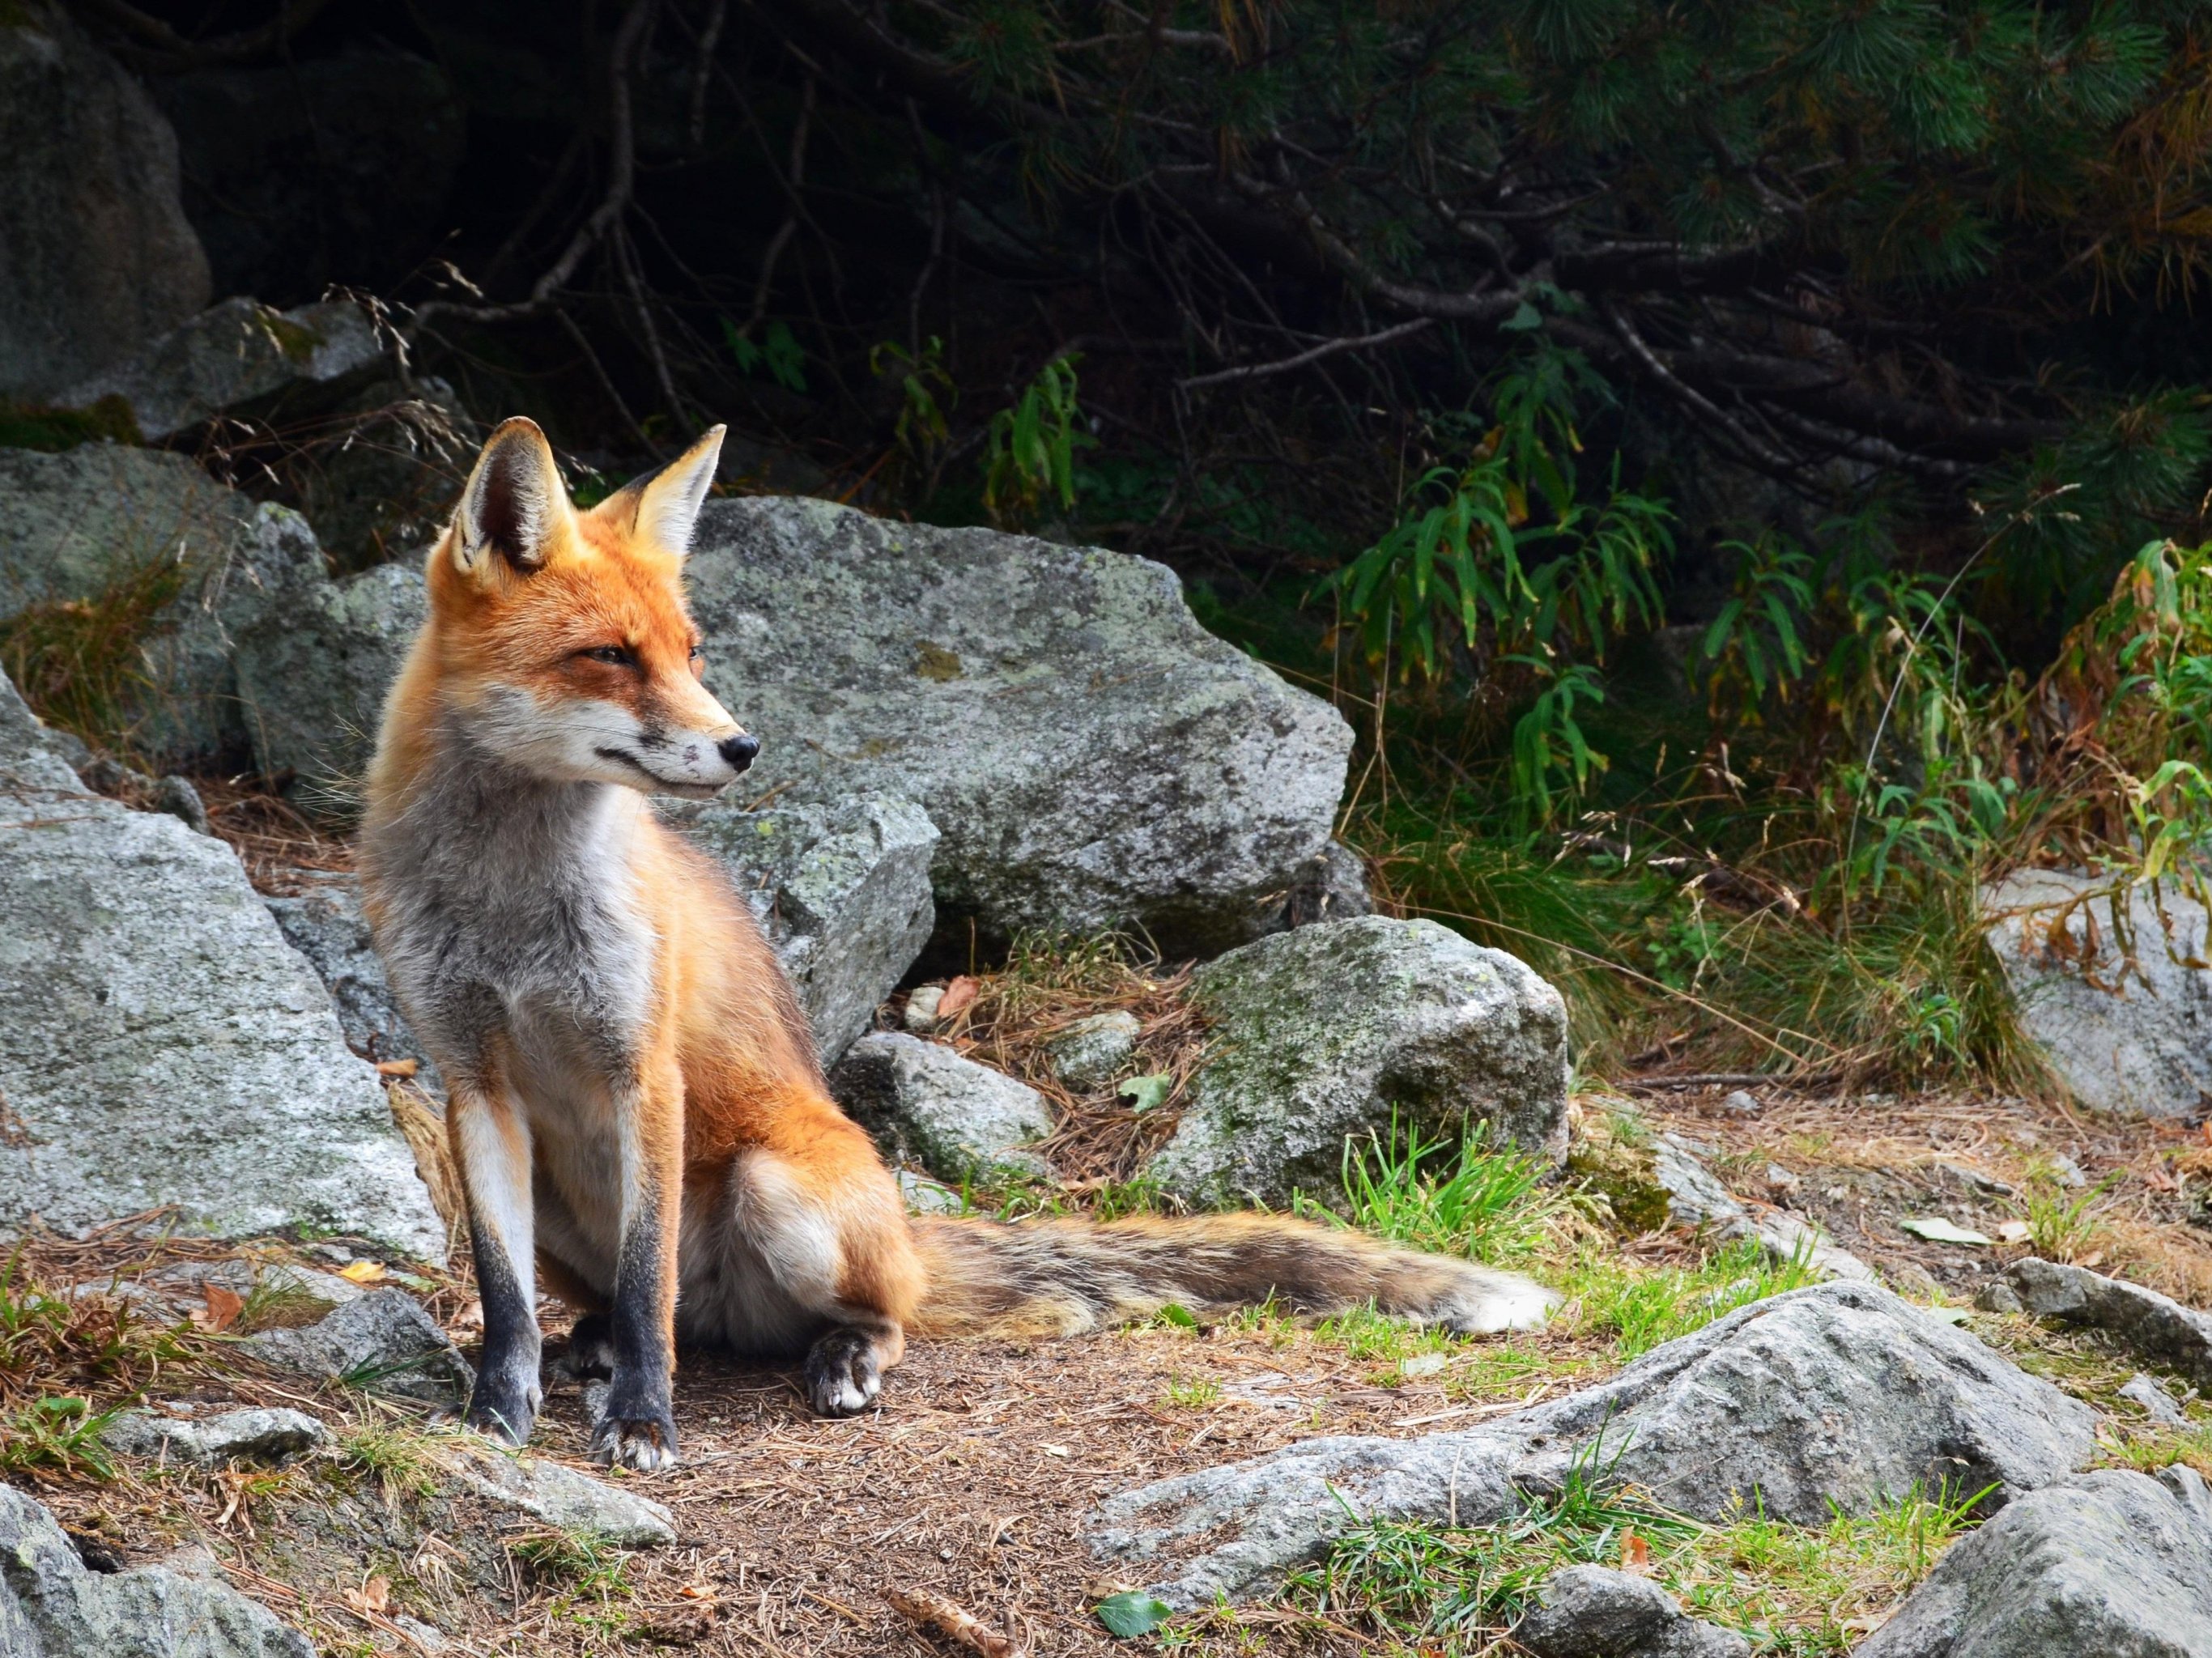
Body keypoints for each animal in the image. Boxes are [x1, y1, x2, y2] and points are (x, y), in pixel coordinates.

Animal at [358, 416, 1557, 1470]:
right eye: (609, 654)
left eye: (692, 653)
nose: (744, 746)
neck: (510, 910)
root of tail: (899, 1230)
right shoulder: (473, 1081)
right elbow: (502, 1298)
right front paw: (495, 1412)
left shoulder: (641, 1069)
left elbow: (649, 1277)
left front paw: (647, 1425)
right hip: (567, 1211)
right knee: (647, 1309)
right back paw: (596, 1346)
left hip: (779, 1192)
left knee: (834, 1316)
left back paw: (836, 1358)